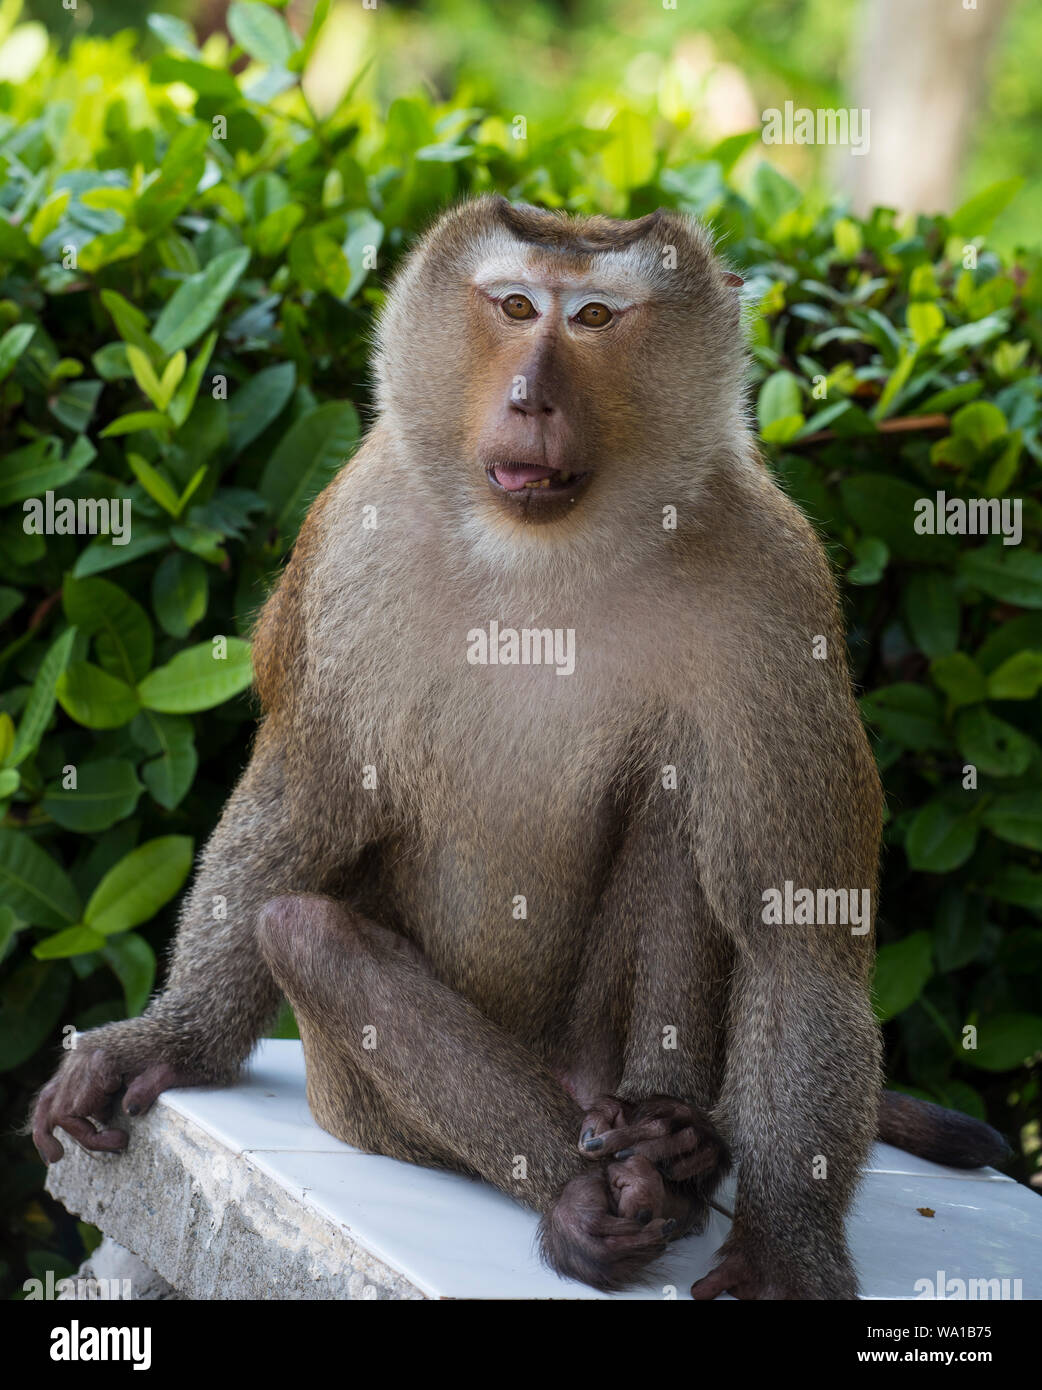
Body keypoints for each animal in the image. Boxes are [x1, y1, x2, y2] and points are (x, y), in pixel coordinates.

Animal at [31, 195, 1008, 1299]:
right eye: (511, 306)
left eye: (592, 316)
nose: (530, 395)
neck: (548, 549)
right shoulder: (349, 544)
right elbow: (297, 804)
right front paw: (177, 1034)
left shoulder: (774, 585)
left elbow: (796, 933)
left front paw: (786, 1243)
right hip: (361, 1109)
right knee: (306, 931)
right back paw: (596, 1196)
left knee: (678, 797)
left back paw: (671, 1141)